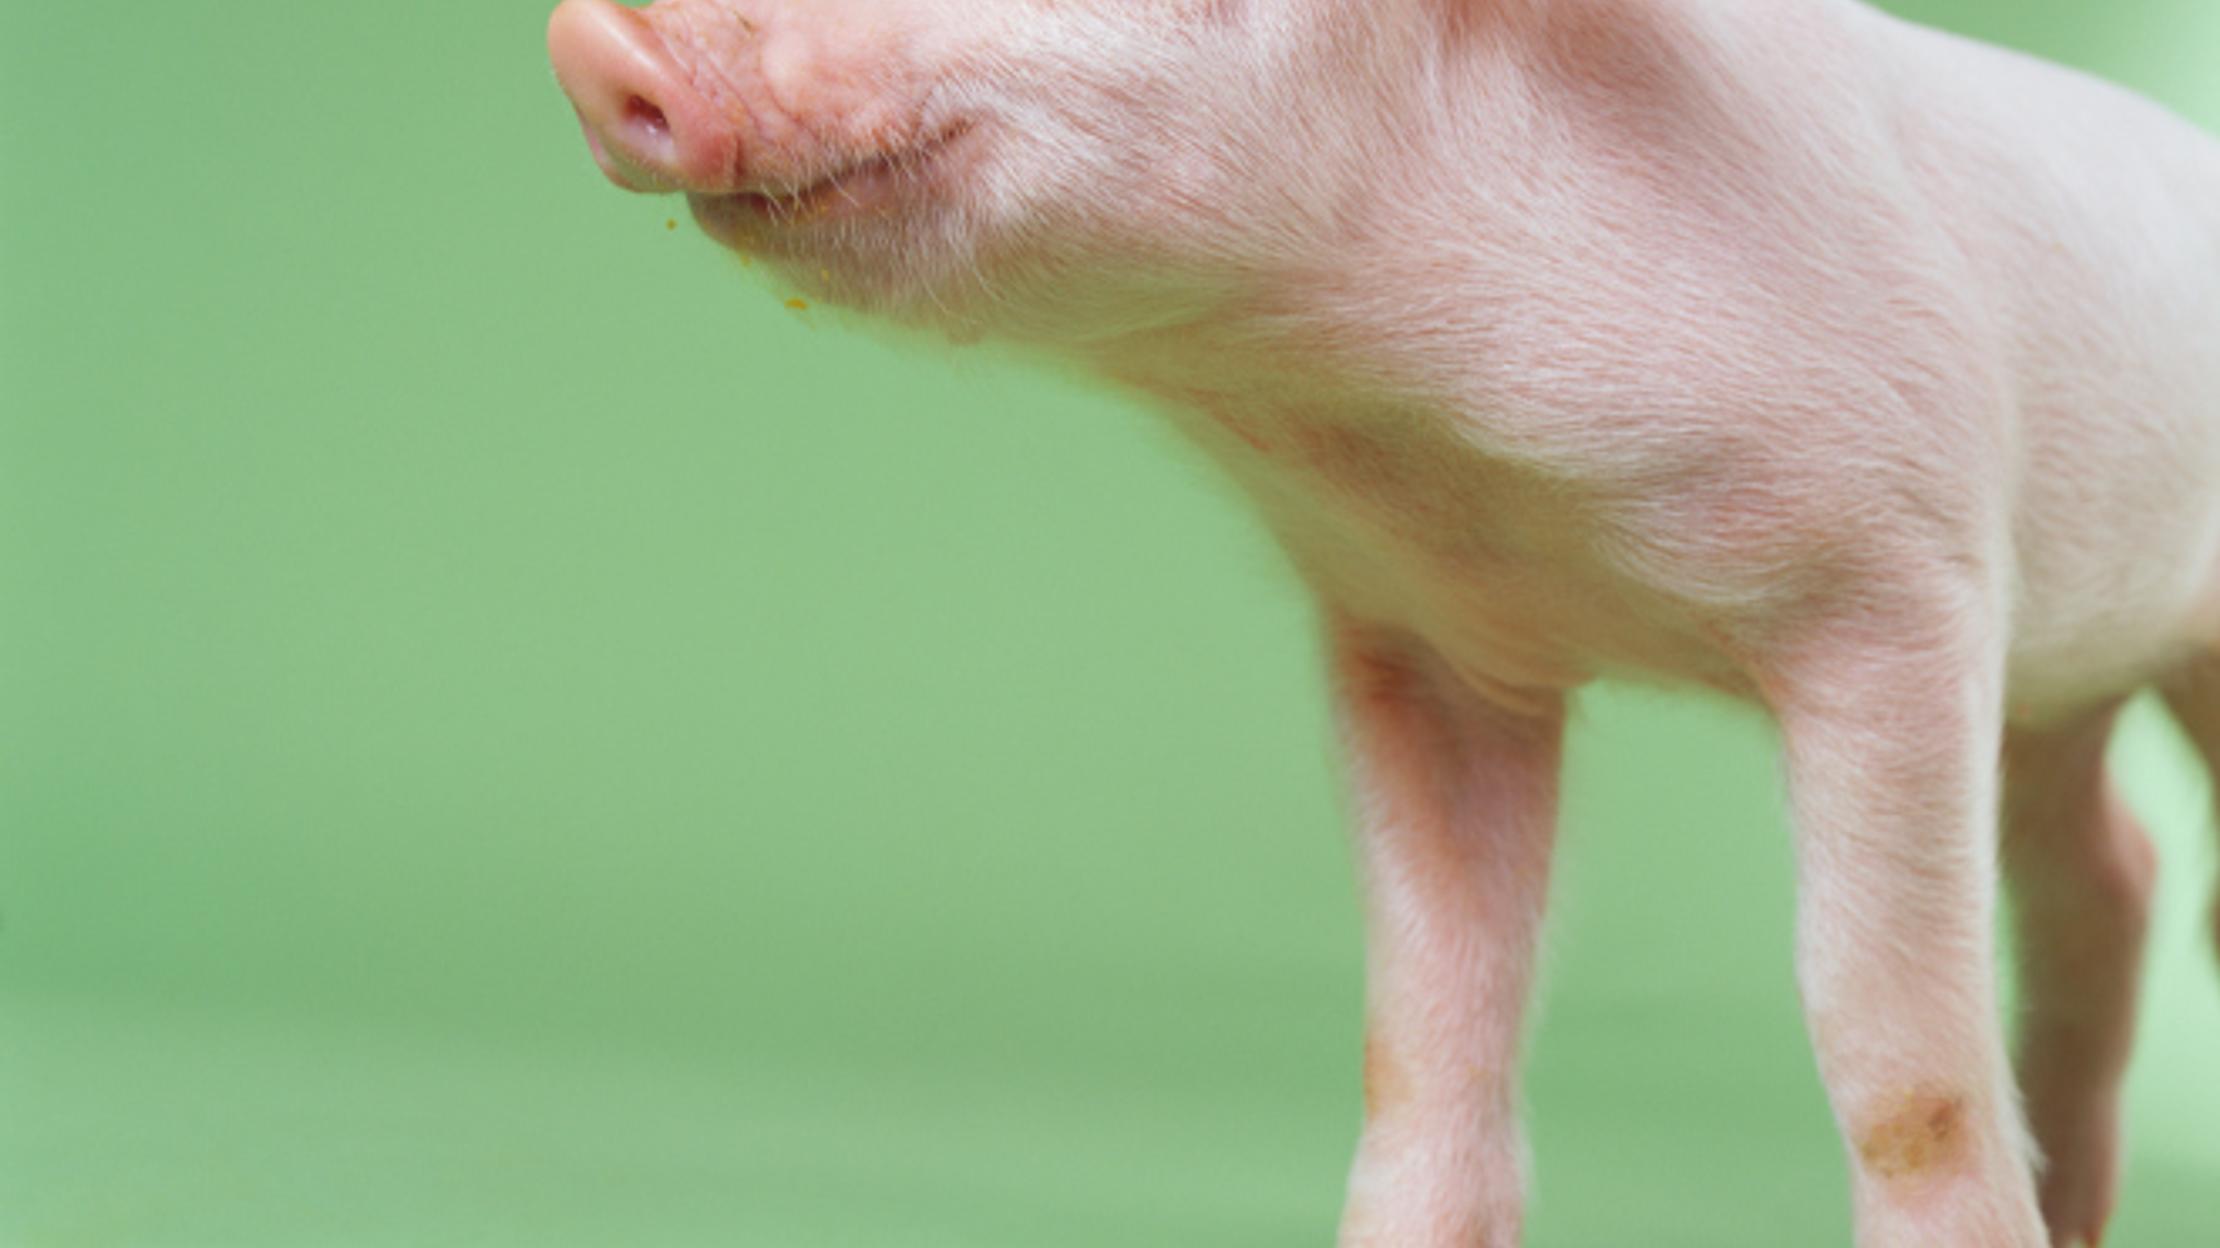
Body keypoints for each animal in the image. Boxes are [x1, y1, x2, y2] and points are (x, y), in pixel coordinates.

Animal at [547, 0, 2220, 1243]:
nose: (591, 36)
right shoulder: (1425, 637)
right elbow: (1427, 1018)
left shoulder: (1900, 584)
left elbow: (1890, 1044)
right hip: (2058, 683)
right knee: (2111, 872)